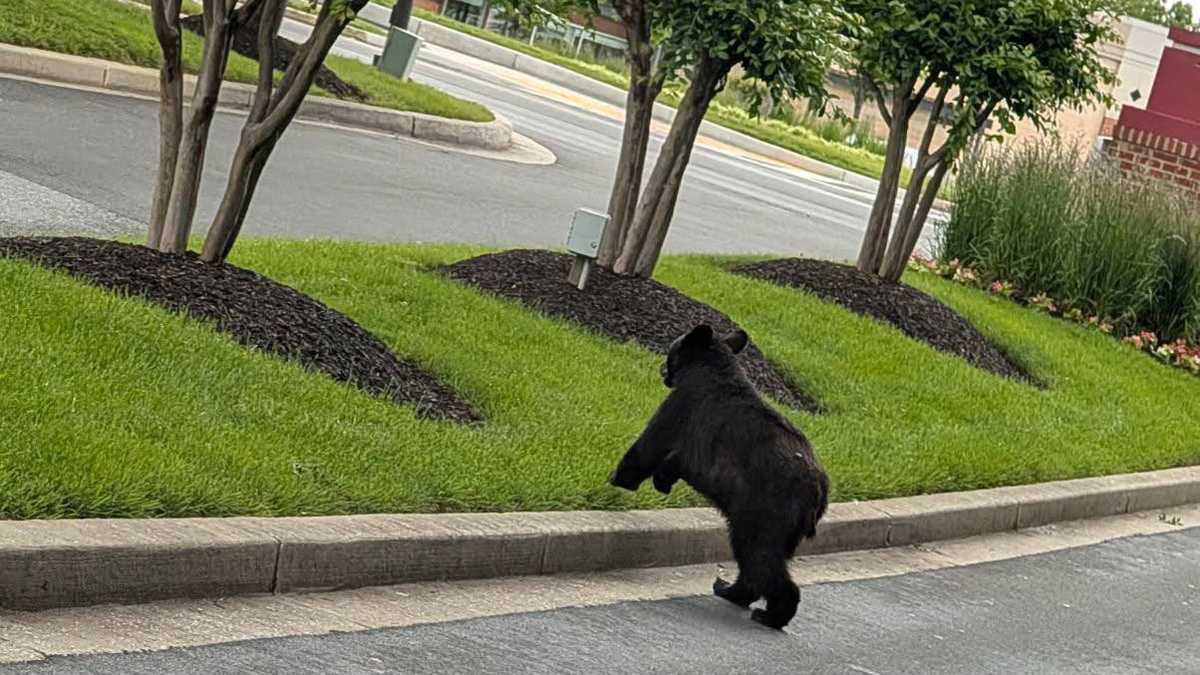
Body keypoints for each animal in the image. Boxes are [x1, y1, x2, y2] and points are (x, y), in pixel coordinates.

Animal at [608, 324, 828, 630]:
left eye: (671, 353)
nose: (662, 371)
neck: (715, 366)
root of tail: (818, 492)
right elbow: (676, 462)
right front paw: (663, 481)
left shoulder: (682, 405)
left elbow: (649, 446)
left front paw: (618, 478)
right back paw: (730, 591)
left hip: (765, 514)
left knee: (758, 558)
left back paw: (769, 614)